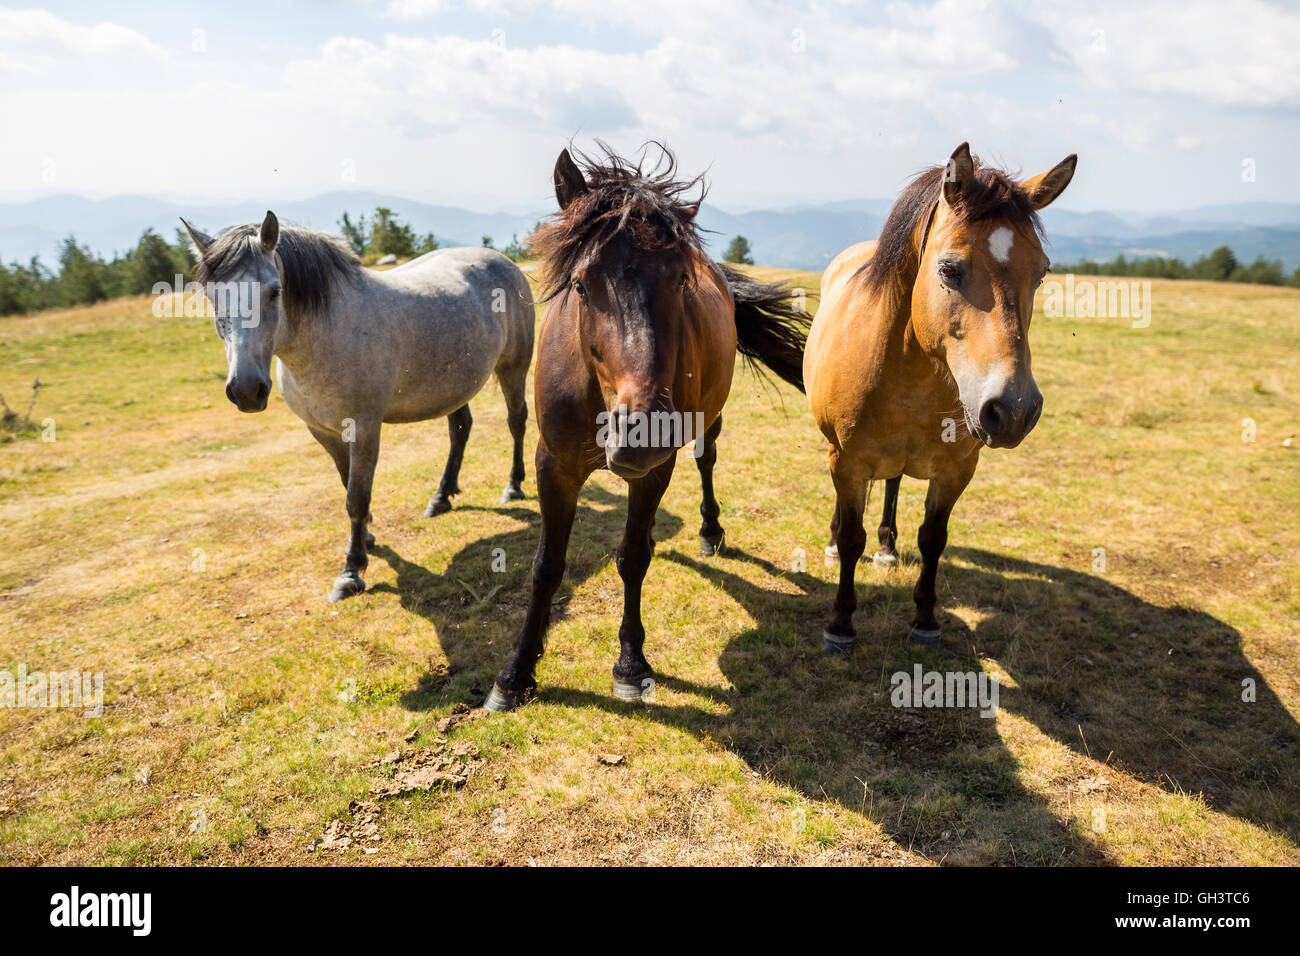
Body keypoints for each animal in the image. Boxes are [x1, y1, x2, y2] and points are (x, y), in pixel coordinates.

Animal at [181, 211, 534, 603]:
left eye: (274, 291)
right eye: (212, 296)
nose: (246, 390)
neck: (329, 333)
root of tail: (504, 262)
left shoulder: (364, 429)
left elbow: (356, 497)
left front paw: (351, 571)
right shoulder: (323, 432)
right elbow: (346, 484)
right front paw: (366, 537)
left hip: (513, 368)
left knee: (516, 422)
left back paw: (513, 486)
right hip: (455, 384)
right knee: (460, 430)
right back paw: (441, 498)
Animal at [484, 144, 810, 712]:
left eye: (679, 279)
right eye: (580, 284)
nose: (640, 433)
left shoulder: (656, 468)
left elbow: (633, 556)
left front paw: (631, 664)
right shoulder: (553, 465)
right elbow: (547, 565)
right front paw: (516, 672)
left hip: (707, 422)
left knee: (707, 462)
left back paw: (710, 532)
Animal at [804, 143, 1077, 653]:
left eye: (1041, 274)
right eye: (949, 268)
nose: (1014, 409)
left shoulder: (956, 470)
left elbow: (933, 538)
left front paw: (925, 619)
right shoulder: (847, 460)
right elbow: (851, 536)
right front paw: (840, 624)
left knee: (892, 485)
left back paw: (888, 549)